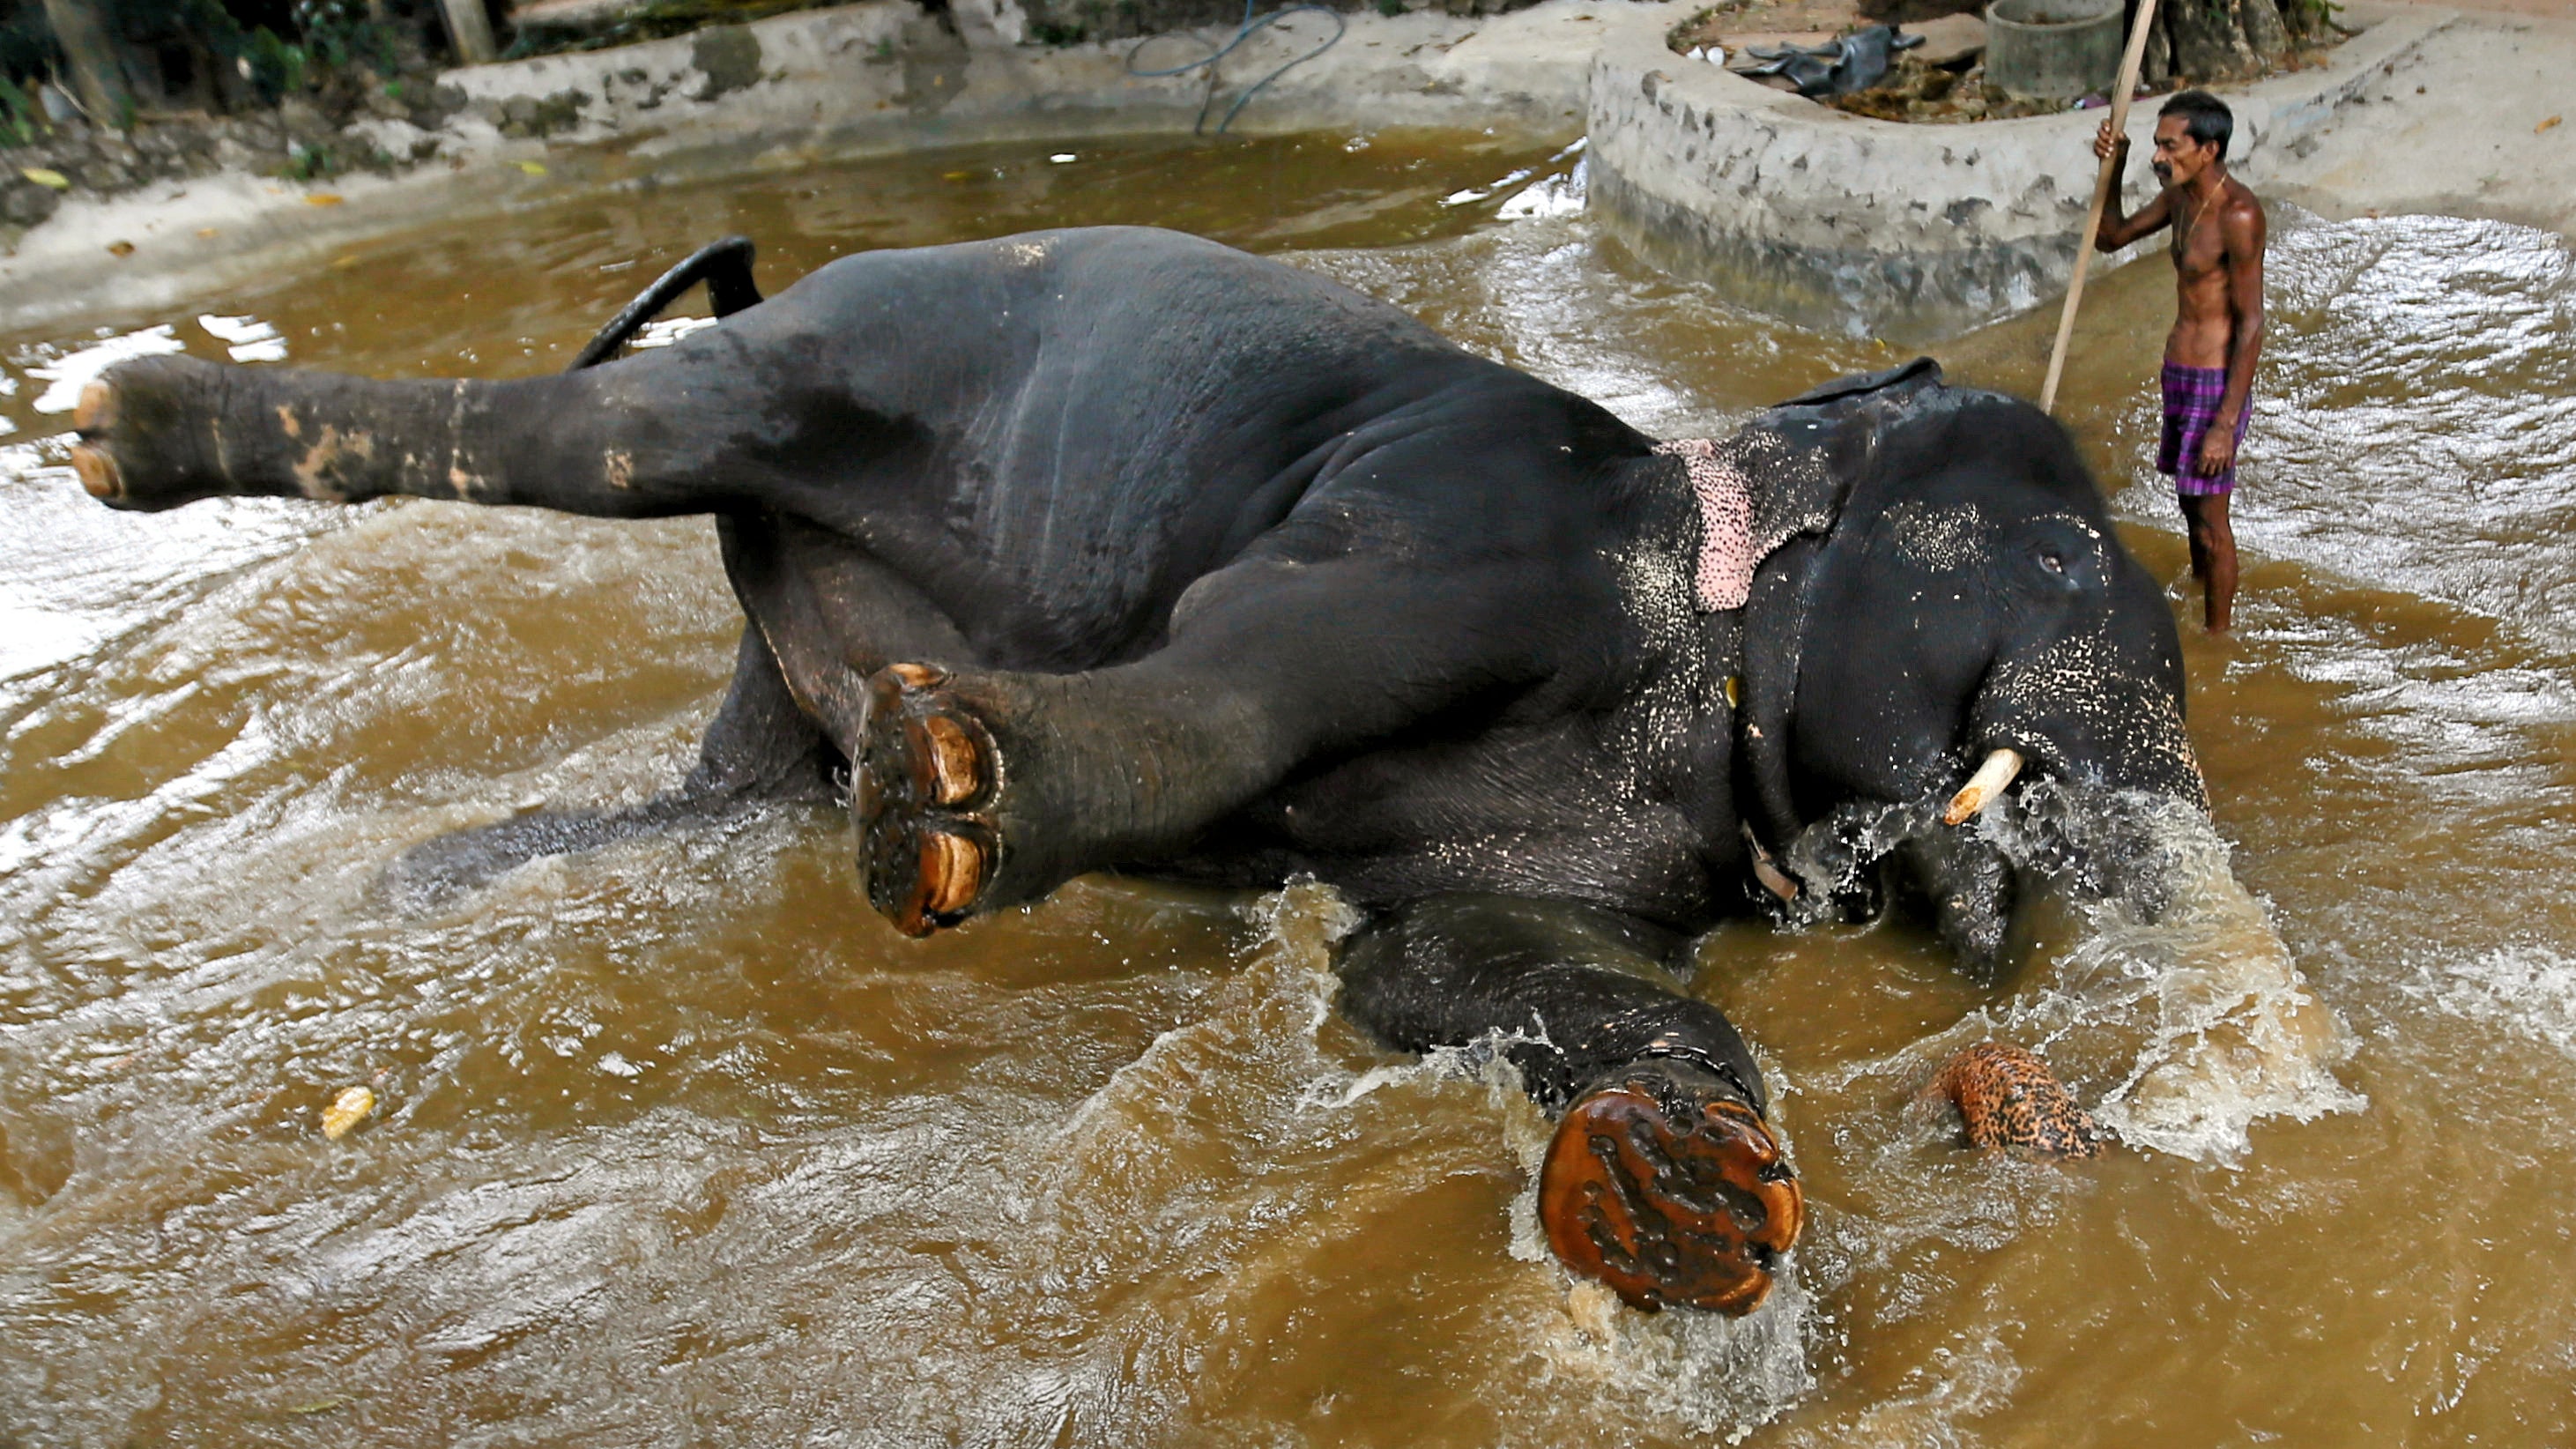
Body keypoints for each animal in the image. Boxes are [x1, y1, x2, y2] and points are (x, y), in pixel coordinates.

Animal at [65, 226, 2202, 1317]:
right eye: (2071, 551)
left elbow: (1459, 978)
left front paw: (1677, 1197)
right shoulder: (1432, 540)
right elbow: (1250, 677)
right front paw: (953, 792)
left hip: (753, 693)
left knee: (700, 786)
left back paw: (437, 875)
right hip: (768, 384)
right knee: (556, 431)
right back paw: (129, 420)